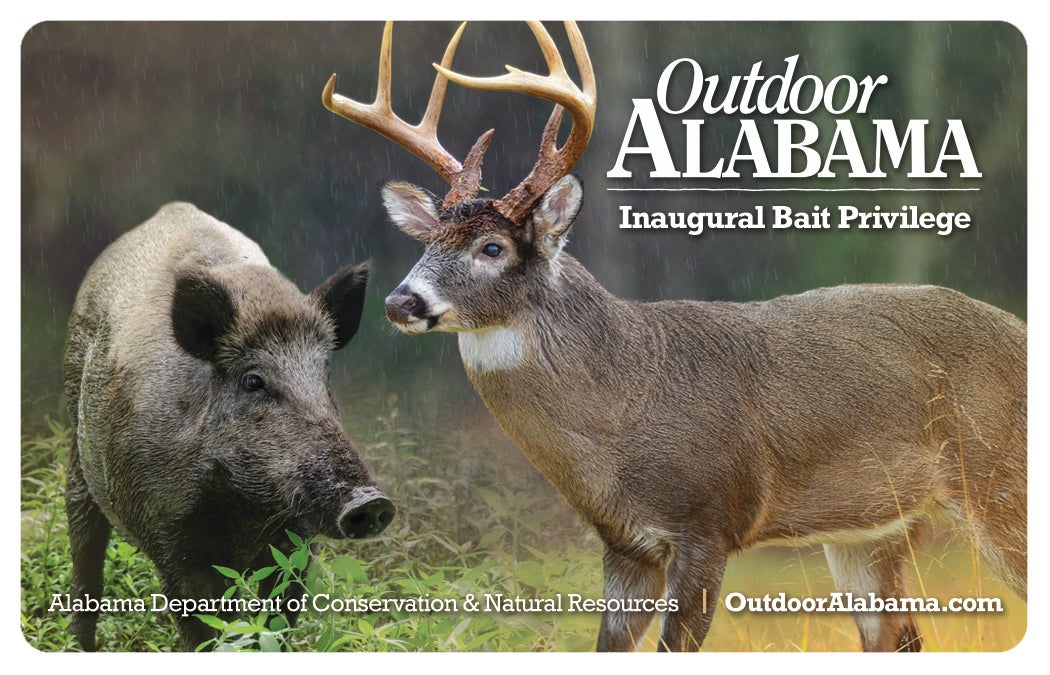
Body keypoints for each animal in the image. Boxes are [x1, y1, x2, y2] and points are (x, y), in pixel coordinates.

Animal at [322, 21, 1027, 651]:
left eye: (493, 247)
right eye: (428, 242)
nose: (401, 300)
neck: (621, 416)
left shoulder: (708, 521)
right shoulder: (624, 545)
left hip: (1000, 480)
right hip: (867, 531)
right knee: (899, 638)